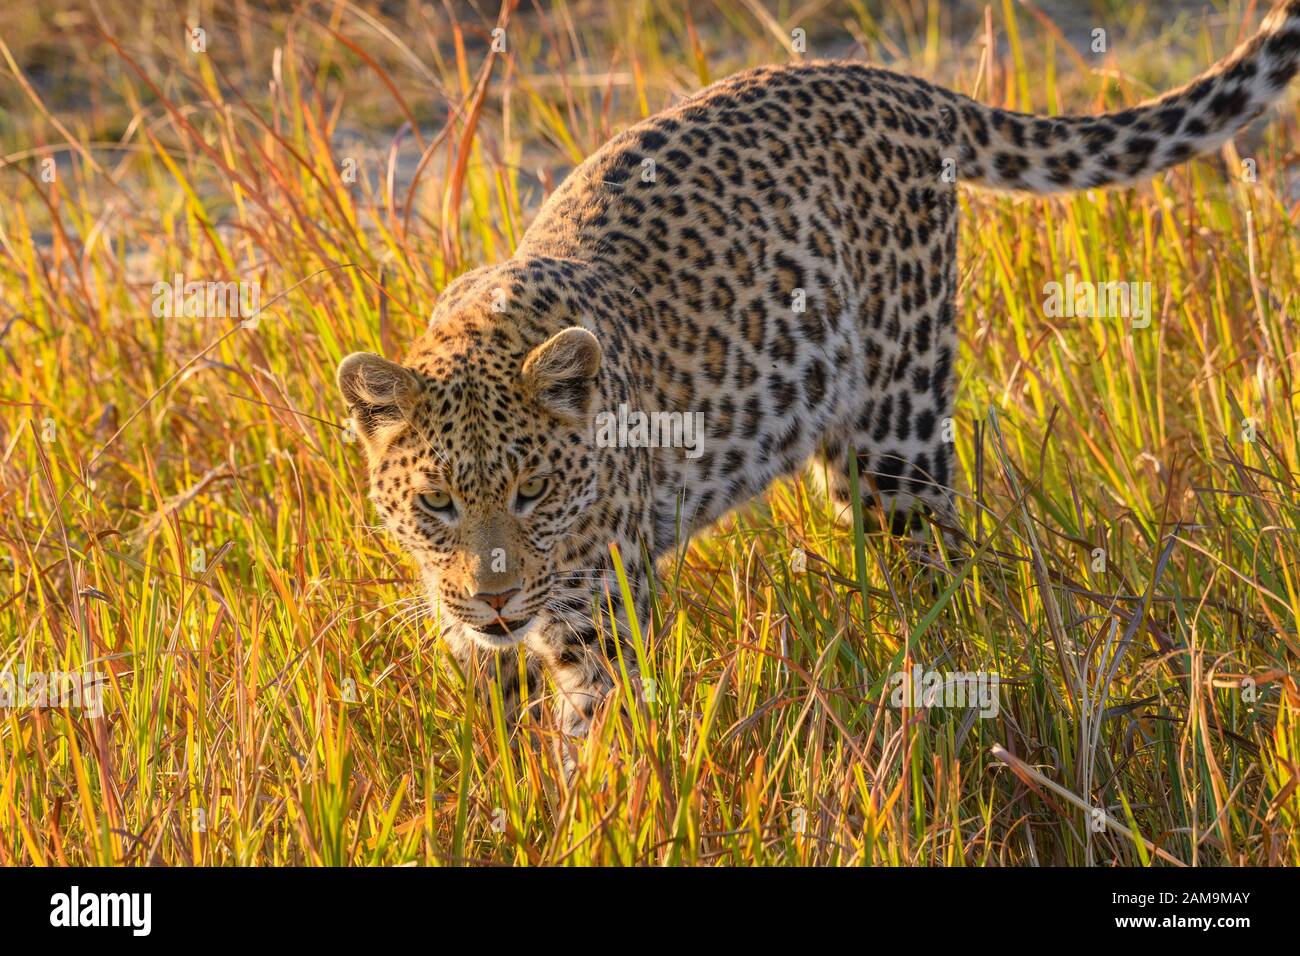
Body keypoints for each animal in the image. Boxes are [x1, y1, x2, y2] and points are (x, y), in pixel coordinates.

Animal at [338, 1, 1300, 746]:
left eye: (534, 492)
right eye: (436, 504)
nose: (497, 602)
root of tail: (891, 80)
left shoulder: (602, 623)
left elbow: (600, 750)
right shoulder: (476, 641)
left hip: (898, 443)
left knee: (947, 570)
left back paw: (950, 684)